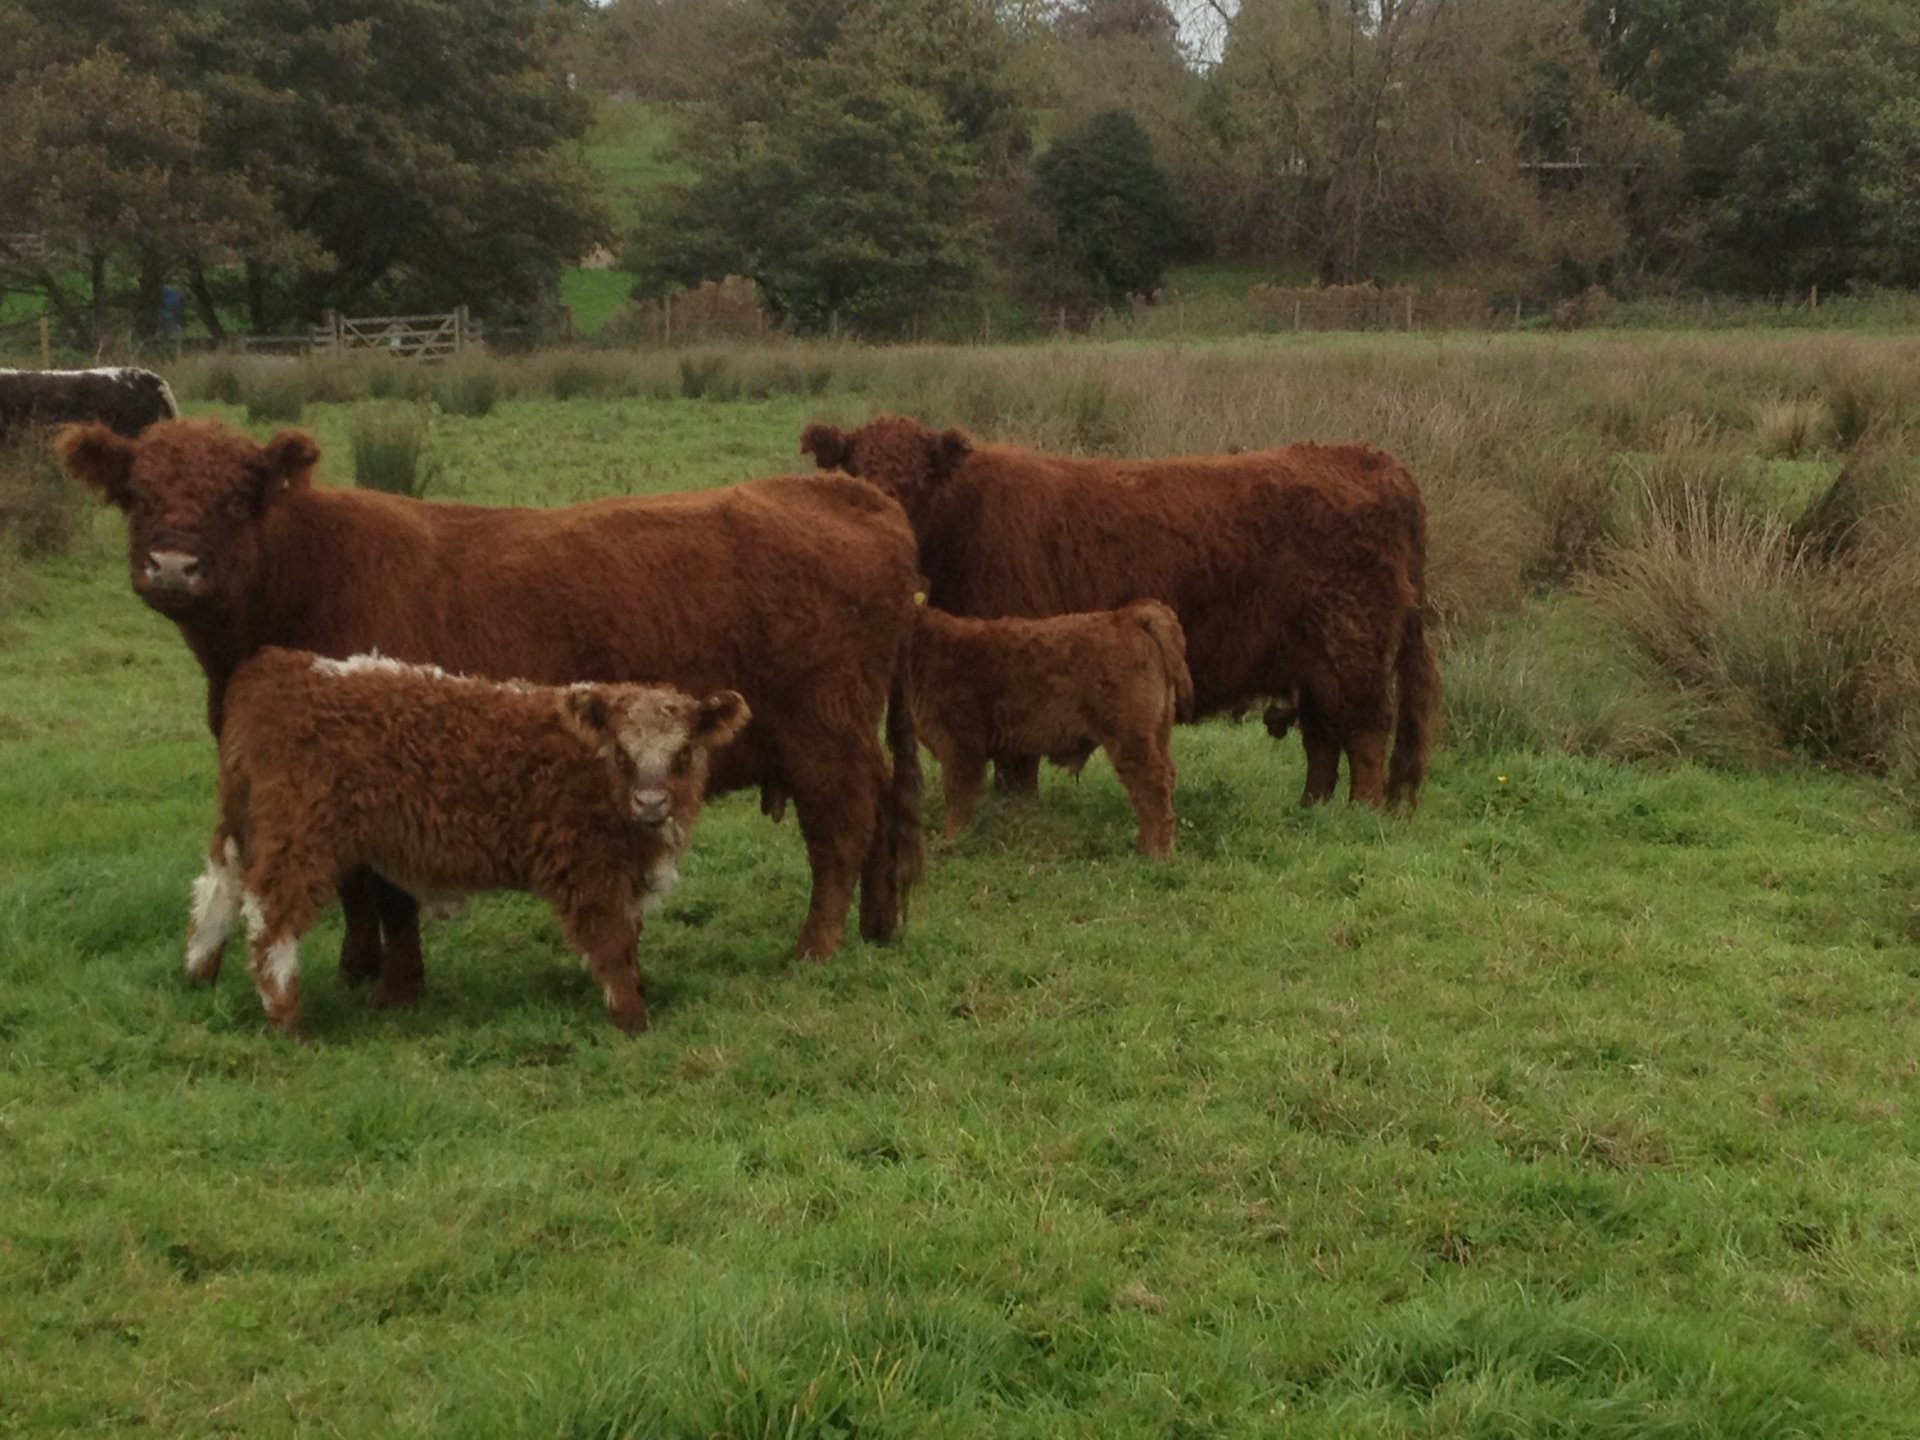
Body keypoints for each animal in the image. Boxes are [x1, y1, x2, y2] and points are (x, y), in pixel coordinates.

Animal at [186, 647, 749, 1036]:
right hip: (299, 838)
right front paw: (633, 1019)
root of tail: (282, 668)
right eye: (624, 753)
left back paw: (199, 976)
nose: (651, 802)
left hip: (243, 827)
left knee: (217, 891)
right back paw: (288, 1021)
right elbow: (611, 946)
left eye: (683, 753)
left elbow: (629, 942)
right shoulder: (587, 871)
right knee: (270, 921)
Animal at [801, 414, 1441, 810]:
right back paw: (1312, 808)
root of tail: (1372, 459)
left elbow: (1017, 760)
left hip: (1351, 644)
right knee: (1323, 736)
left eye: (917, 483)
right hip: (1312, 659)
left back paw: (1361, 812)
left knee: (1365, 731)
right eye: (855, 475)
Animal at [912, 600, 1195, 856]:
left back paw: (1156, 854)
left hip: (1129, 735)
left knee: (1151, 785)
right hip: (1158, 733)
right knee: (1165, 779)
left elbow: (957, 797)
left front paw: (951, 841)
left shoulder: (961, 745)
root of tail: (1127, 615)